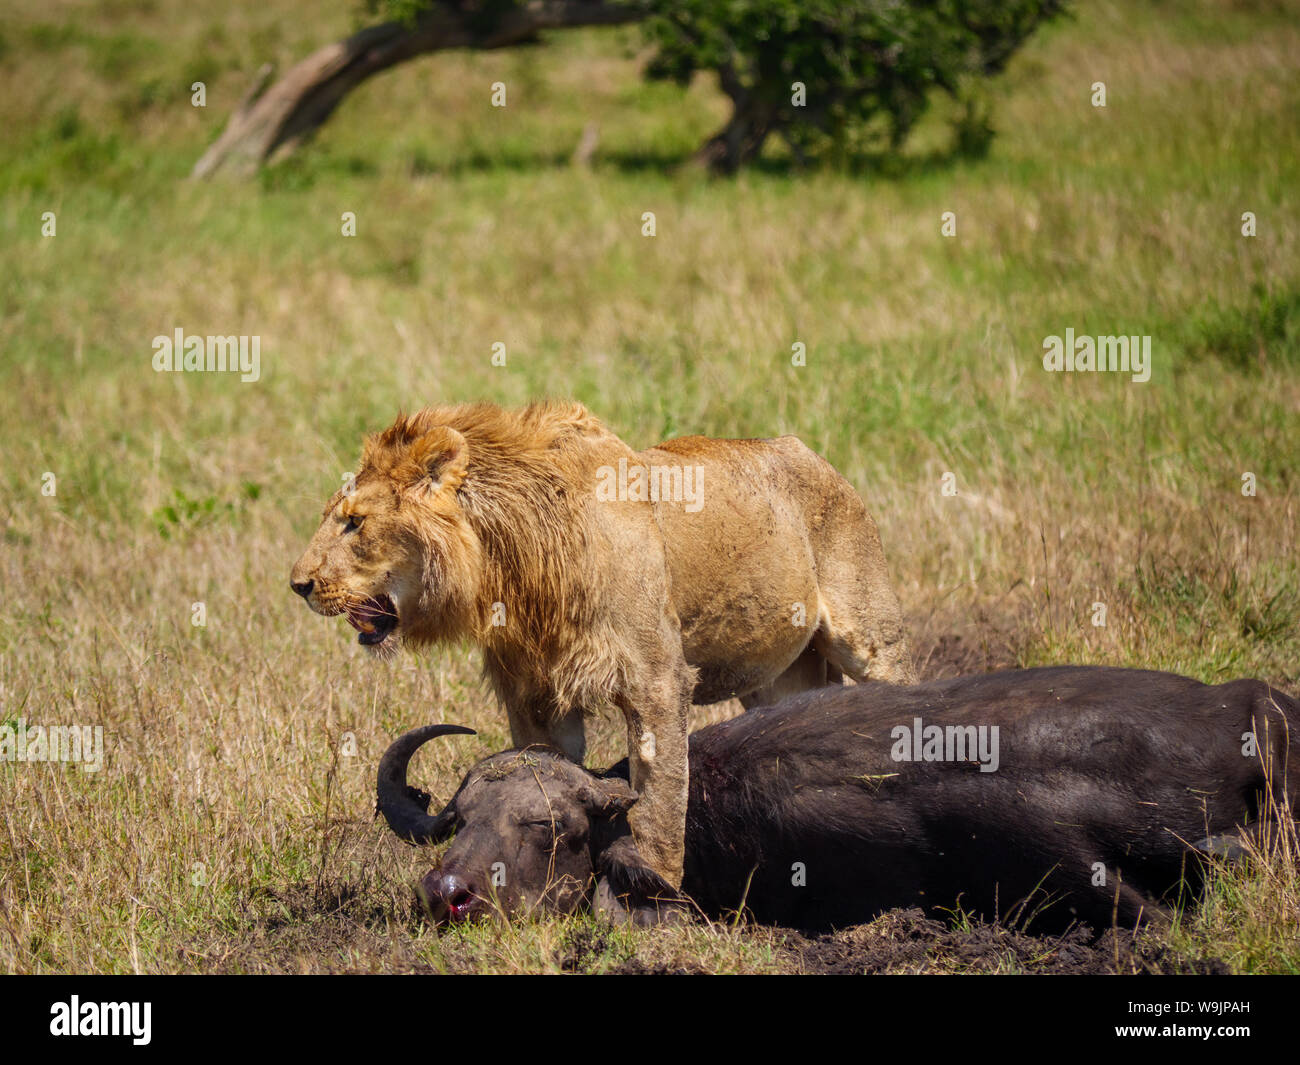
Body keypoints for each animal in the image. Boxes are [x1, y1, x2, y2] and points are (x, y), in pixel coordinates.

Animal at [290, 401, 914, 889]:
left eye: (354, 522)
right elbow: (543, 782)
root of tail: (806, 451)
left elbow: (658, 812)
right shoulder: (535, 699)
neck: (514, 565)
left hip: (869, 635)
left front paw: (655, 907)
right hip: (779, 676)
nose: (297, 584)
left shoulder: (658, 683)